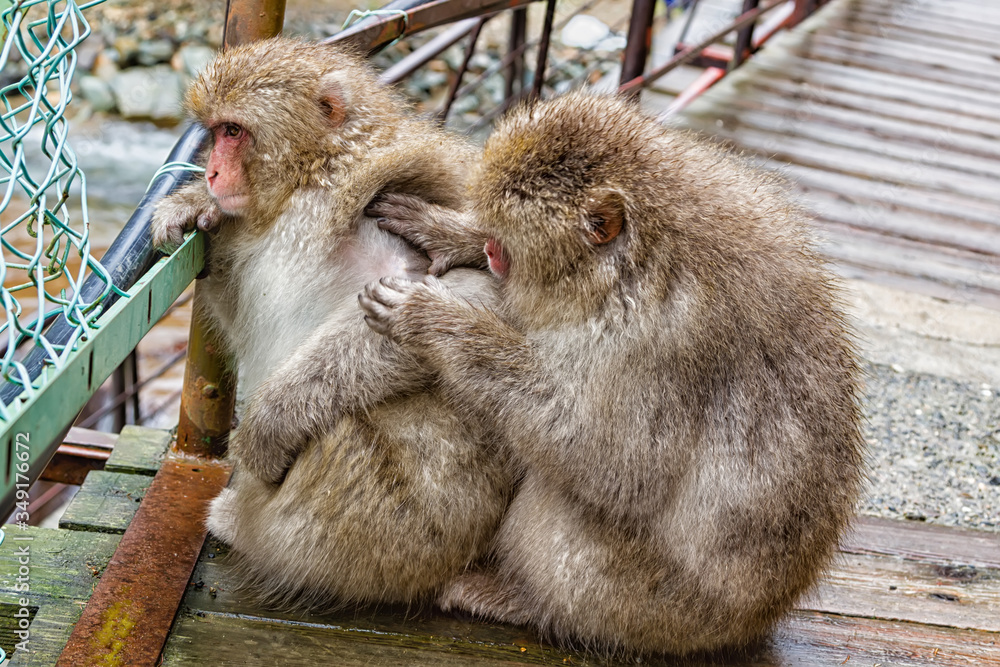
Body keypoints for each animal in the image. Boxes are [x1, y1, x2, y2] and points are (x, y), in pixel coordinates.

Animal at [150, 37, 511, 609]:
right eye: (215, 132)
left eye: (233, 131)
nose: (210, 174)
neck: (312, 172)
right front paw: (190, 207)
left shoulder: (368, 202)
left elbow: (480, 293)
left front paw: (266, 426)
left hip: (400, 535)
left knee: (338, 434)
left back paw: (249, 530)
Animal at [361, 92, 866, 655]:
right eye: (495, 232)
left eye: (510, 239)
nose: (491, 249)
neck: (632, 262)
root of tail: (757, 619)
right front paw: (449, 230)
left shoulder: (657, 343)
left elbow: (616, 467)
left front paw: (434, 320)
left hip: (653, 605)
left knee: (564, 490)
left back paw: (528, 602)